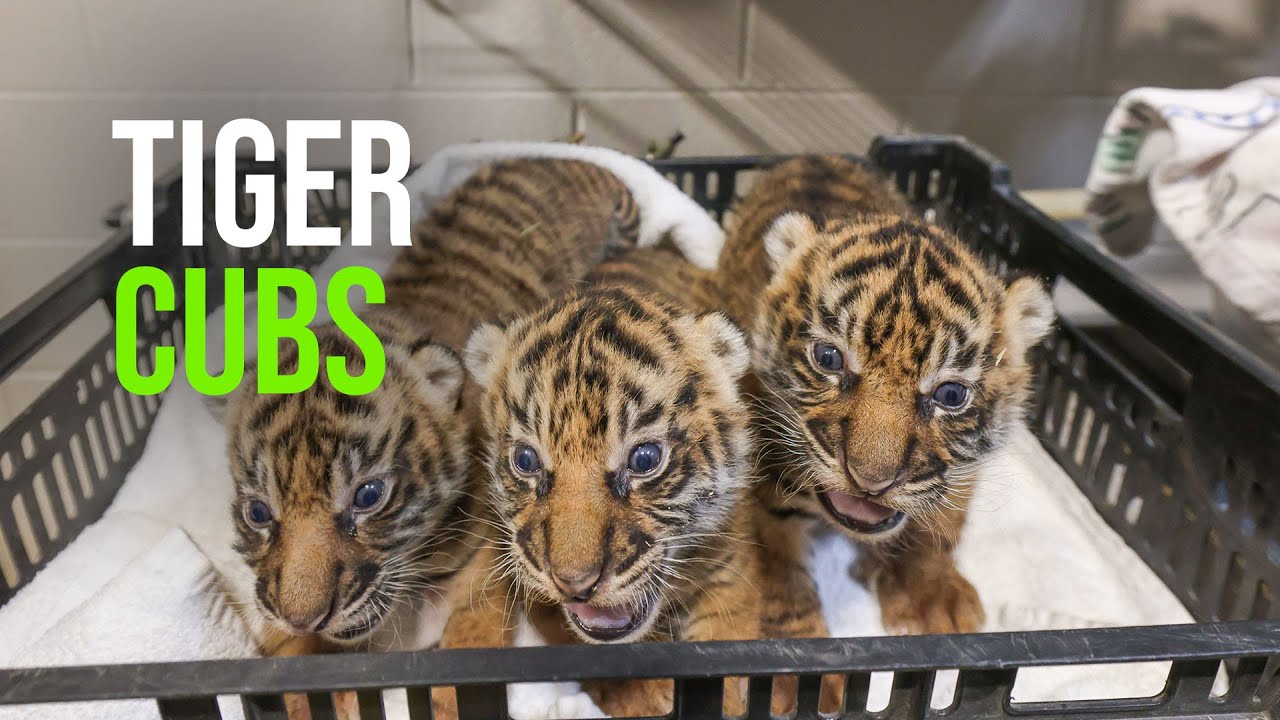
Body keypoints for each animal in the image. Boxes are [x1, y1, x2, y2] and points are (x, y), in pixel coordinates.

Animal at [715, 155, 1054, 635]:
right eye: (828, 358)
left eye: (951, 394)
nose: (870, 481)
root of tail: (816, 156)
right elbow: (779, 571)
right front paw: (792, 646)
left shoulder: (961, 470)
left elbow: (937, 526)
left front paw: (935, 597)